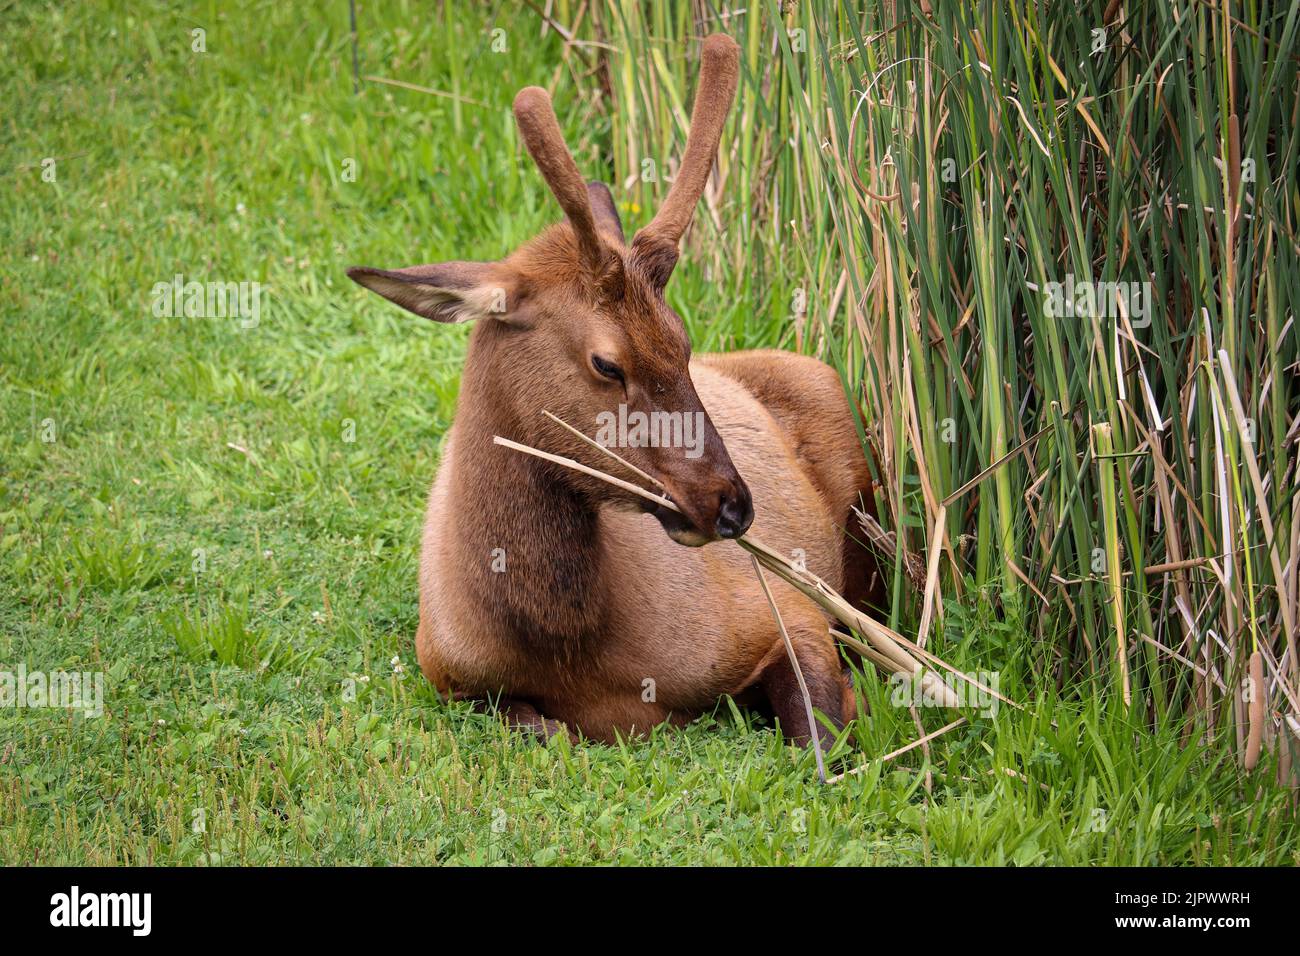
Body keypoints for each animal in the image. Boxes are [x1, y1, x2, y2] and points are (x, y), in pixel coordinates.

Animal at [347, 34, 879, 747]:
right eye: (606, 363)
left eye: (683, 340)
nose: (734, 506)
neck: (578, 653)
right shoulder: (449, 674)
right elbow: (541, 727)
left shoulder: (777, 608)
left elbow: (820, 733)